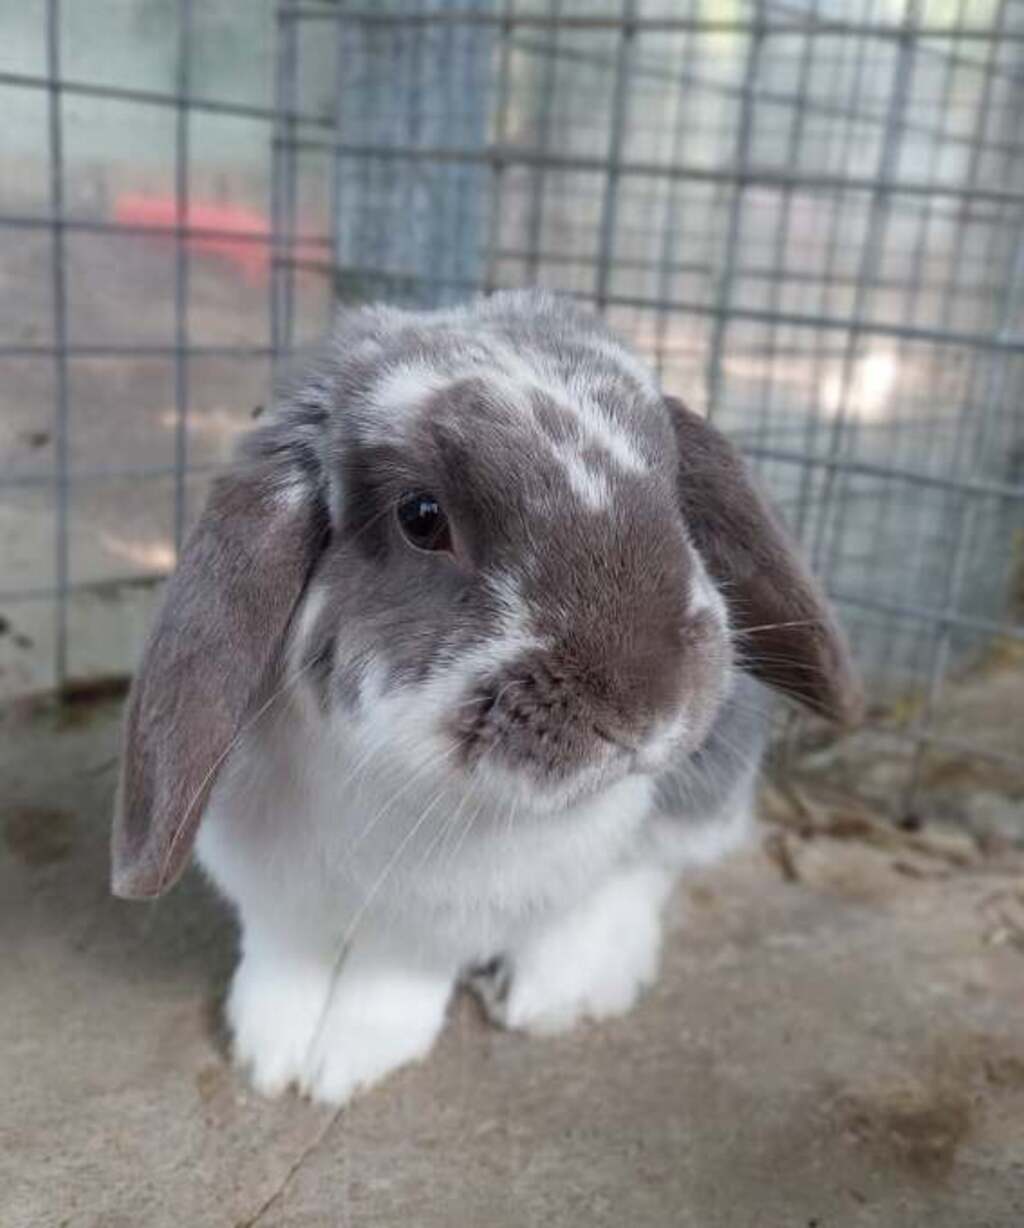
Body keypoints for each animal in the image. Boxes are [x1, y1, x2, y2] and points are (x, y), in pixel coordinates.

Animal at [112, 289, 860, 1106]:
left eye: (673, 493)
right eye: (421, 517)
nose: (648, 712)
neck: (391, 777)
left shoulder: (438, 922)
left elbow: (390, 981)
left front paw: (342, 1065)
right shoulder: (275, 892)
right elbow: (286, 956)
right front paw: (269, 1052)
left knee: (644, 871)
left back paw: (560, 993)